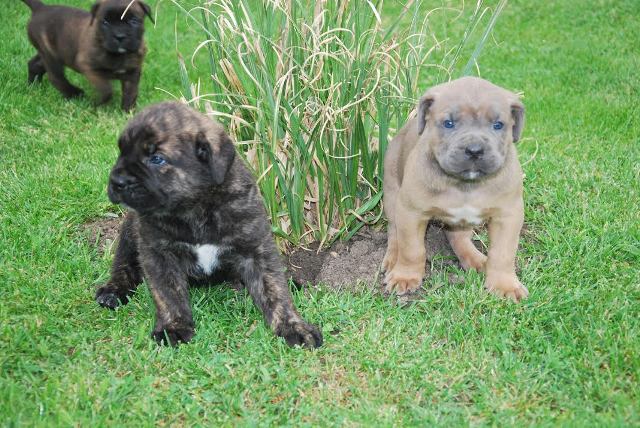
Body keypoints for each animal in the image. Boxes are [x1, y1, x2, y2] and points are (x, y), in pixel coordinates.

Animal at [21, 0, 152, 110]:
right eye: (105, 22)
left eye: (134, 21)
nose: (119, 36)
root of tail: (41, 8)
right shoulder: (90, 69)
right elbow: (107, 89)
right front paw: (97, 105)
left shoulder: (133, 71)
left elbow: (131, 92)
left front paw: (128, 111)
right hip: (51, 57)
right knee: (56, 77)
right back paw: (75, 93)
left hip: (51, 52)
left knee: (35, 64)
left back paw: (34, 86)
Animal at [95, 103, 322, 348]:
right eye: (121, 151)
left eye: (157, 158)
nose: (116, 182)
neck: (194, 208)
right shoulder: (157, 252)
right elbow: (168, 293)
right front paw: (173, 326)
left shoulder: (255, 247)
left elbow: (273, 288)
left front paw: (293, 326)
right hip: (129, 232)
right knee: (123, 265)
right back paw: (112, 291)